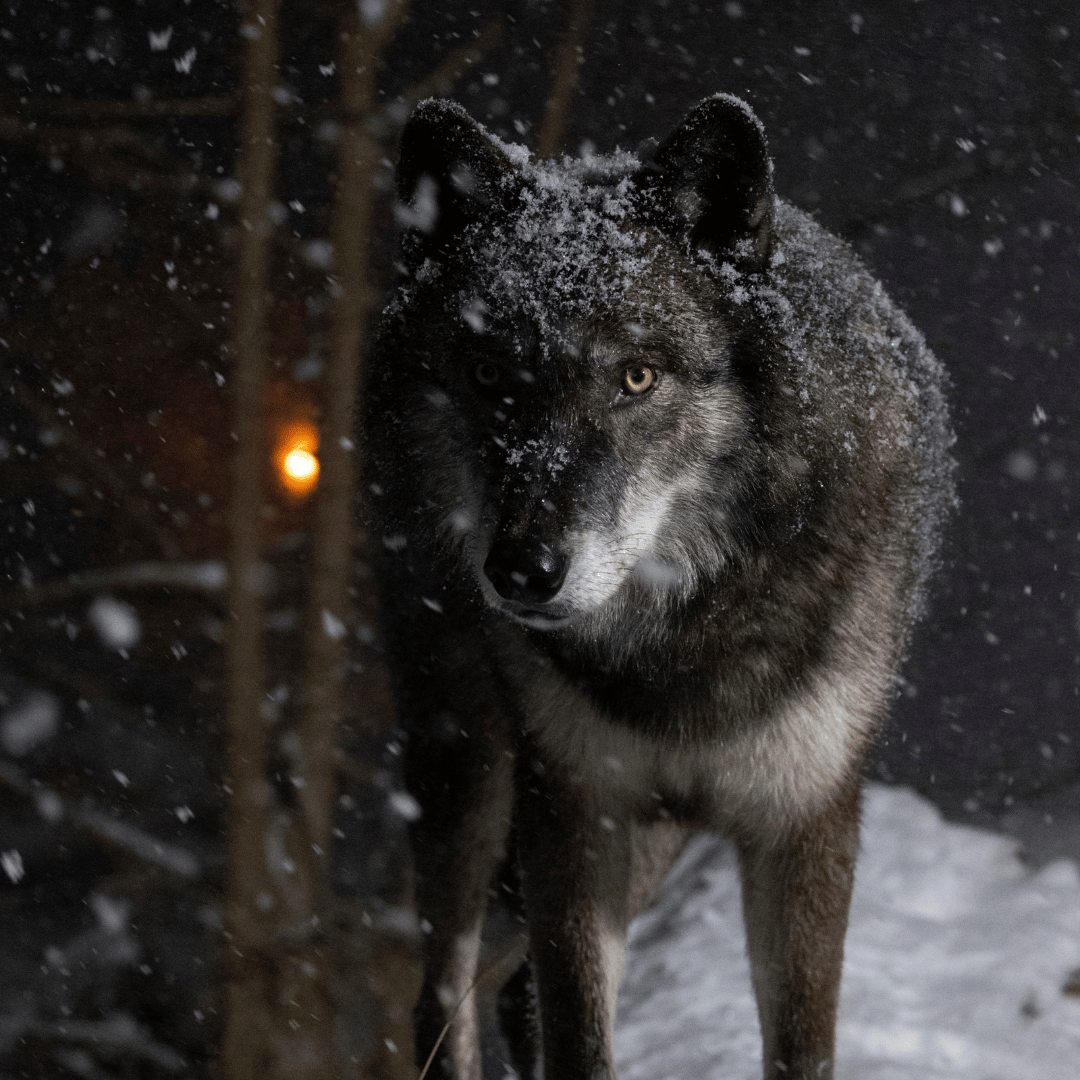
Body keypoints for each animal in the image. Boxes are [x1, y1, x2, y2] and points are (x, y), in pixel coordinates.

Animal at [362, 94, 955, 1080]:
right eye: (489, 377)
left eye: (636, 377)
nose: (522, 570)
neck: (687, 630)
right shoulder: (573, 801)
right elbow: (578, 1039)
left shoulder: (804, 822)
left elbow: (801, 1047)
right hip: (464, 762)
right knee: (443, 991)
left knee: (506, 988)